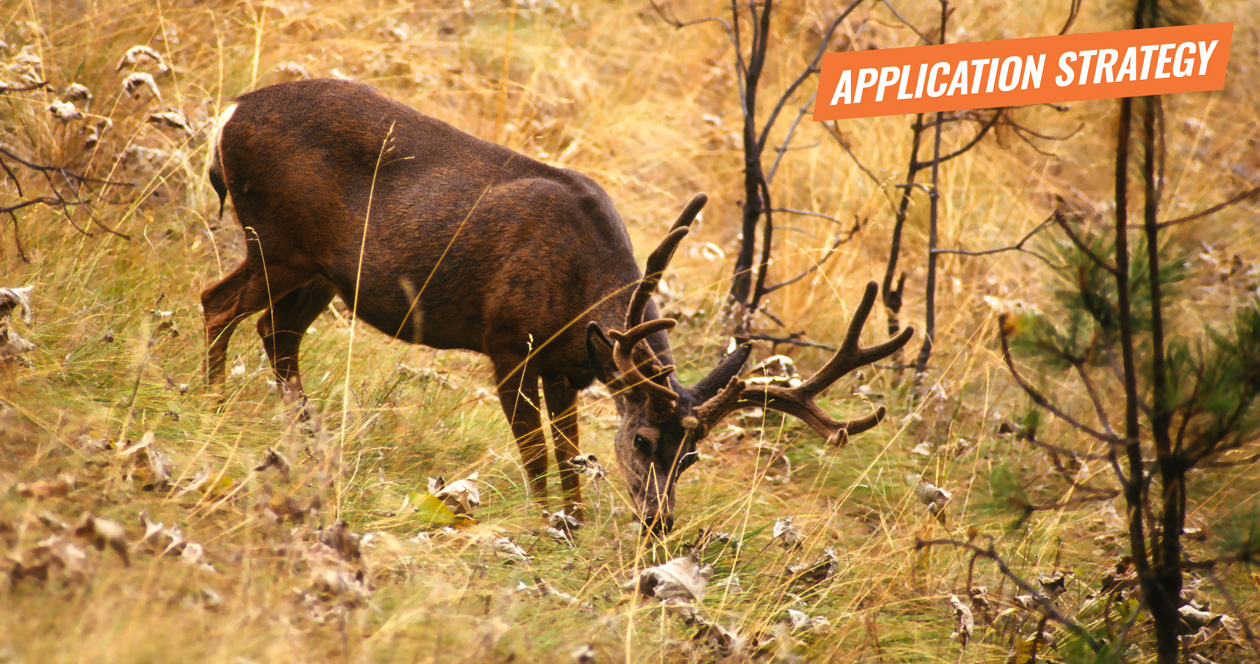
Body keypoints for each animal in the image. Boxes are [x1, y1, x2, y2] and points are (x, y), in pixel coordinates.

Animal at [201, 78, 913, 534]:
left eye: (690, 457)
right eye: (644, 438)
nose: (660, 523)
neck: (582, 292)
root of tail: (228, 114)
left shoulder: (568, 369)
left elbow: (570, 454)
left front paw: (572, 518)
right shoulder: (508, 343)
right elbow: (537, 453)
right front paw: (547, 520)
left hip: (320, 272)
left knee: (274, 331)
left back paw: (304, 432)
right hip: (277, 240)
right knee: (217, 303)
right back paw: (211, 406)